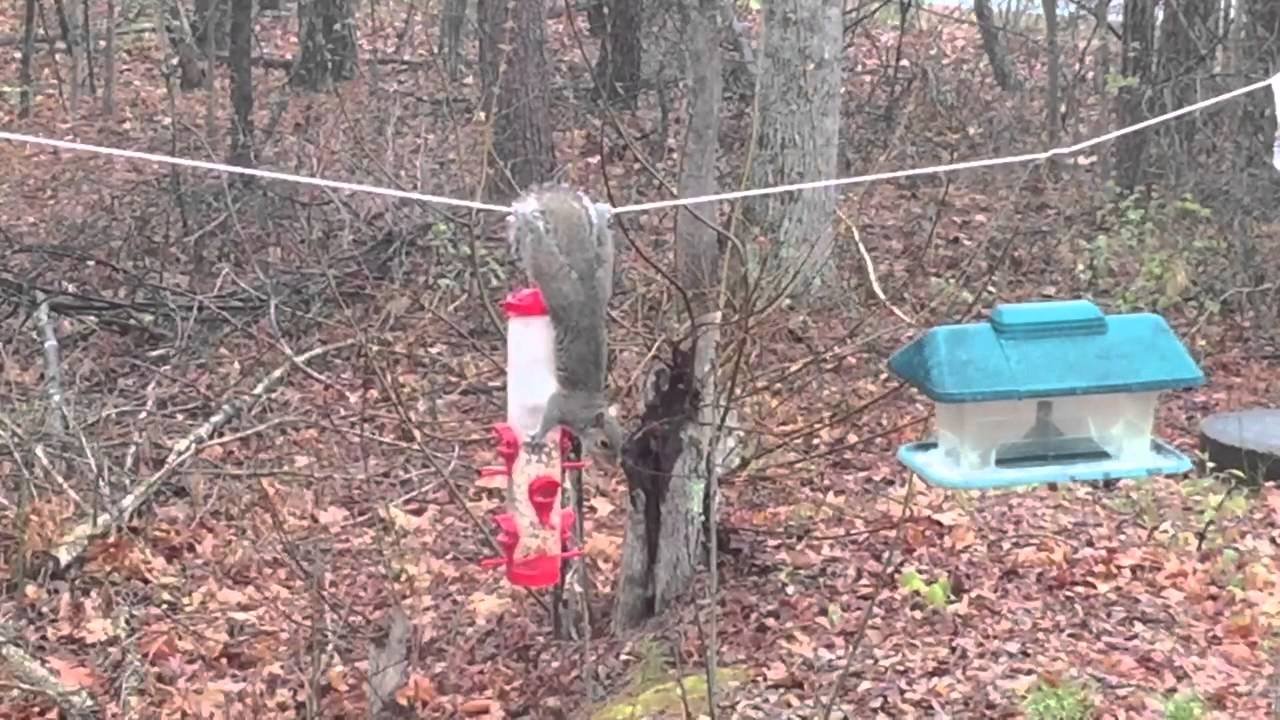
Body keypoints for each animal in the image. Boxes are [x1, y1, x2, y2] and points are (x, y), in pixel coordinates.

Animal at [507, 184, 624, 468]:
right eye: (604, 443)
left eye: (622, 442)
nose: (614, 466)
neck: (589, 410)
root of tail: (586, 287)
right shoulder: (563, 406)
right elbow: (549, 416)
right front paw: (538, 437)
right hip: (559, 285)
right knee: (543, 253)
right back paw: (530, 220)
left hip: (602, 279)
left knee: (605, 247)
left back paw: (601, 215)